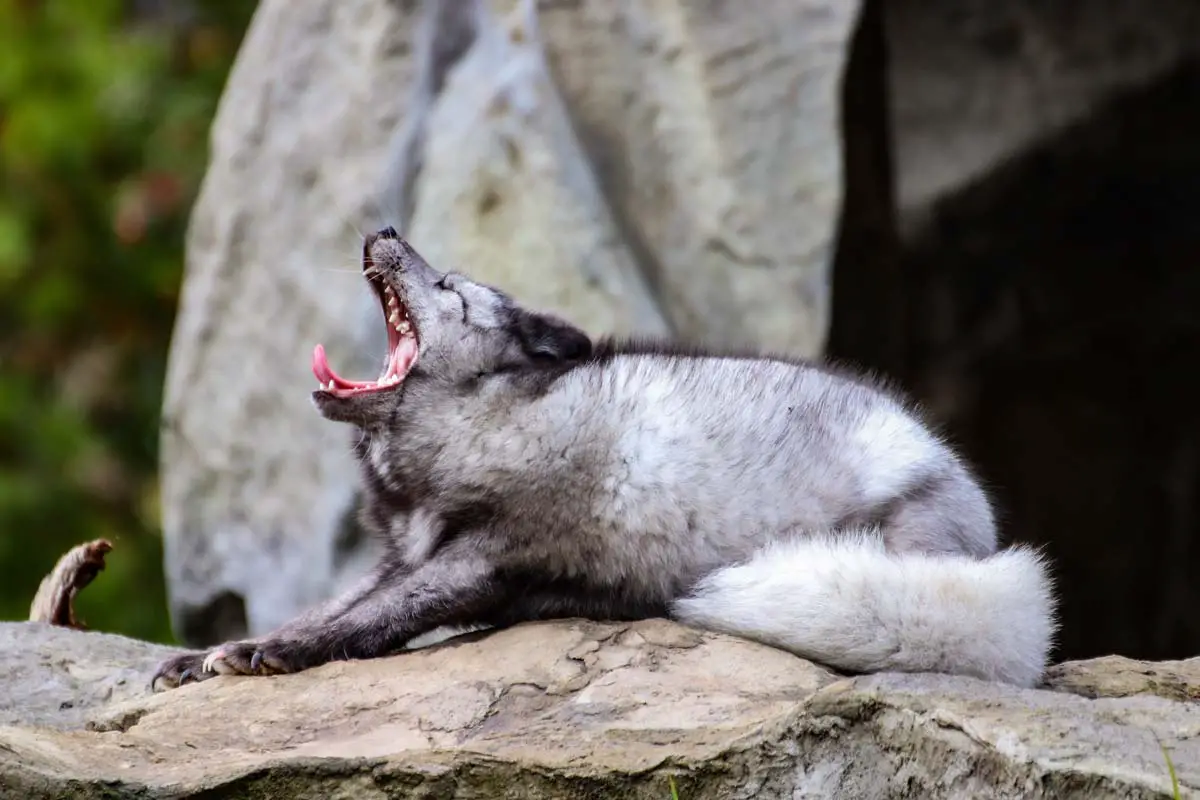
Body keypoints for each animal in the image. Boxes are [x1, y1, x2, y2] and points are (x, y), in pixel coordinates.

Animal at [152, 226, 1057, 692]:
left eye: (449, 290)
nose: (383, 229)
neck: (479, 424)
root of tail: (982, 533)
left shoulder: (480, 554)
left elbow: (370, 622)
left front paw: (273, 657)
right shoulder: (401, 554)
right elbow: (328, 606)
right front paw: (213, 654)